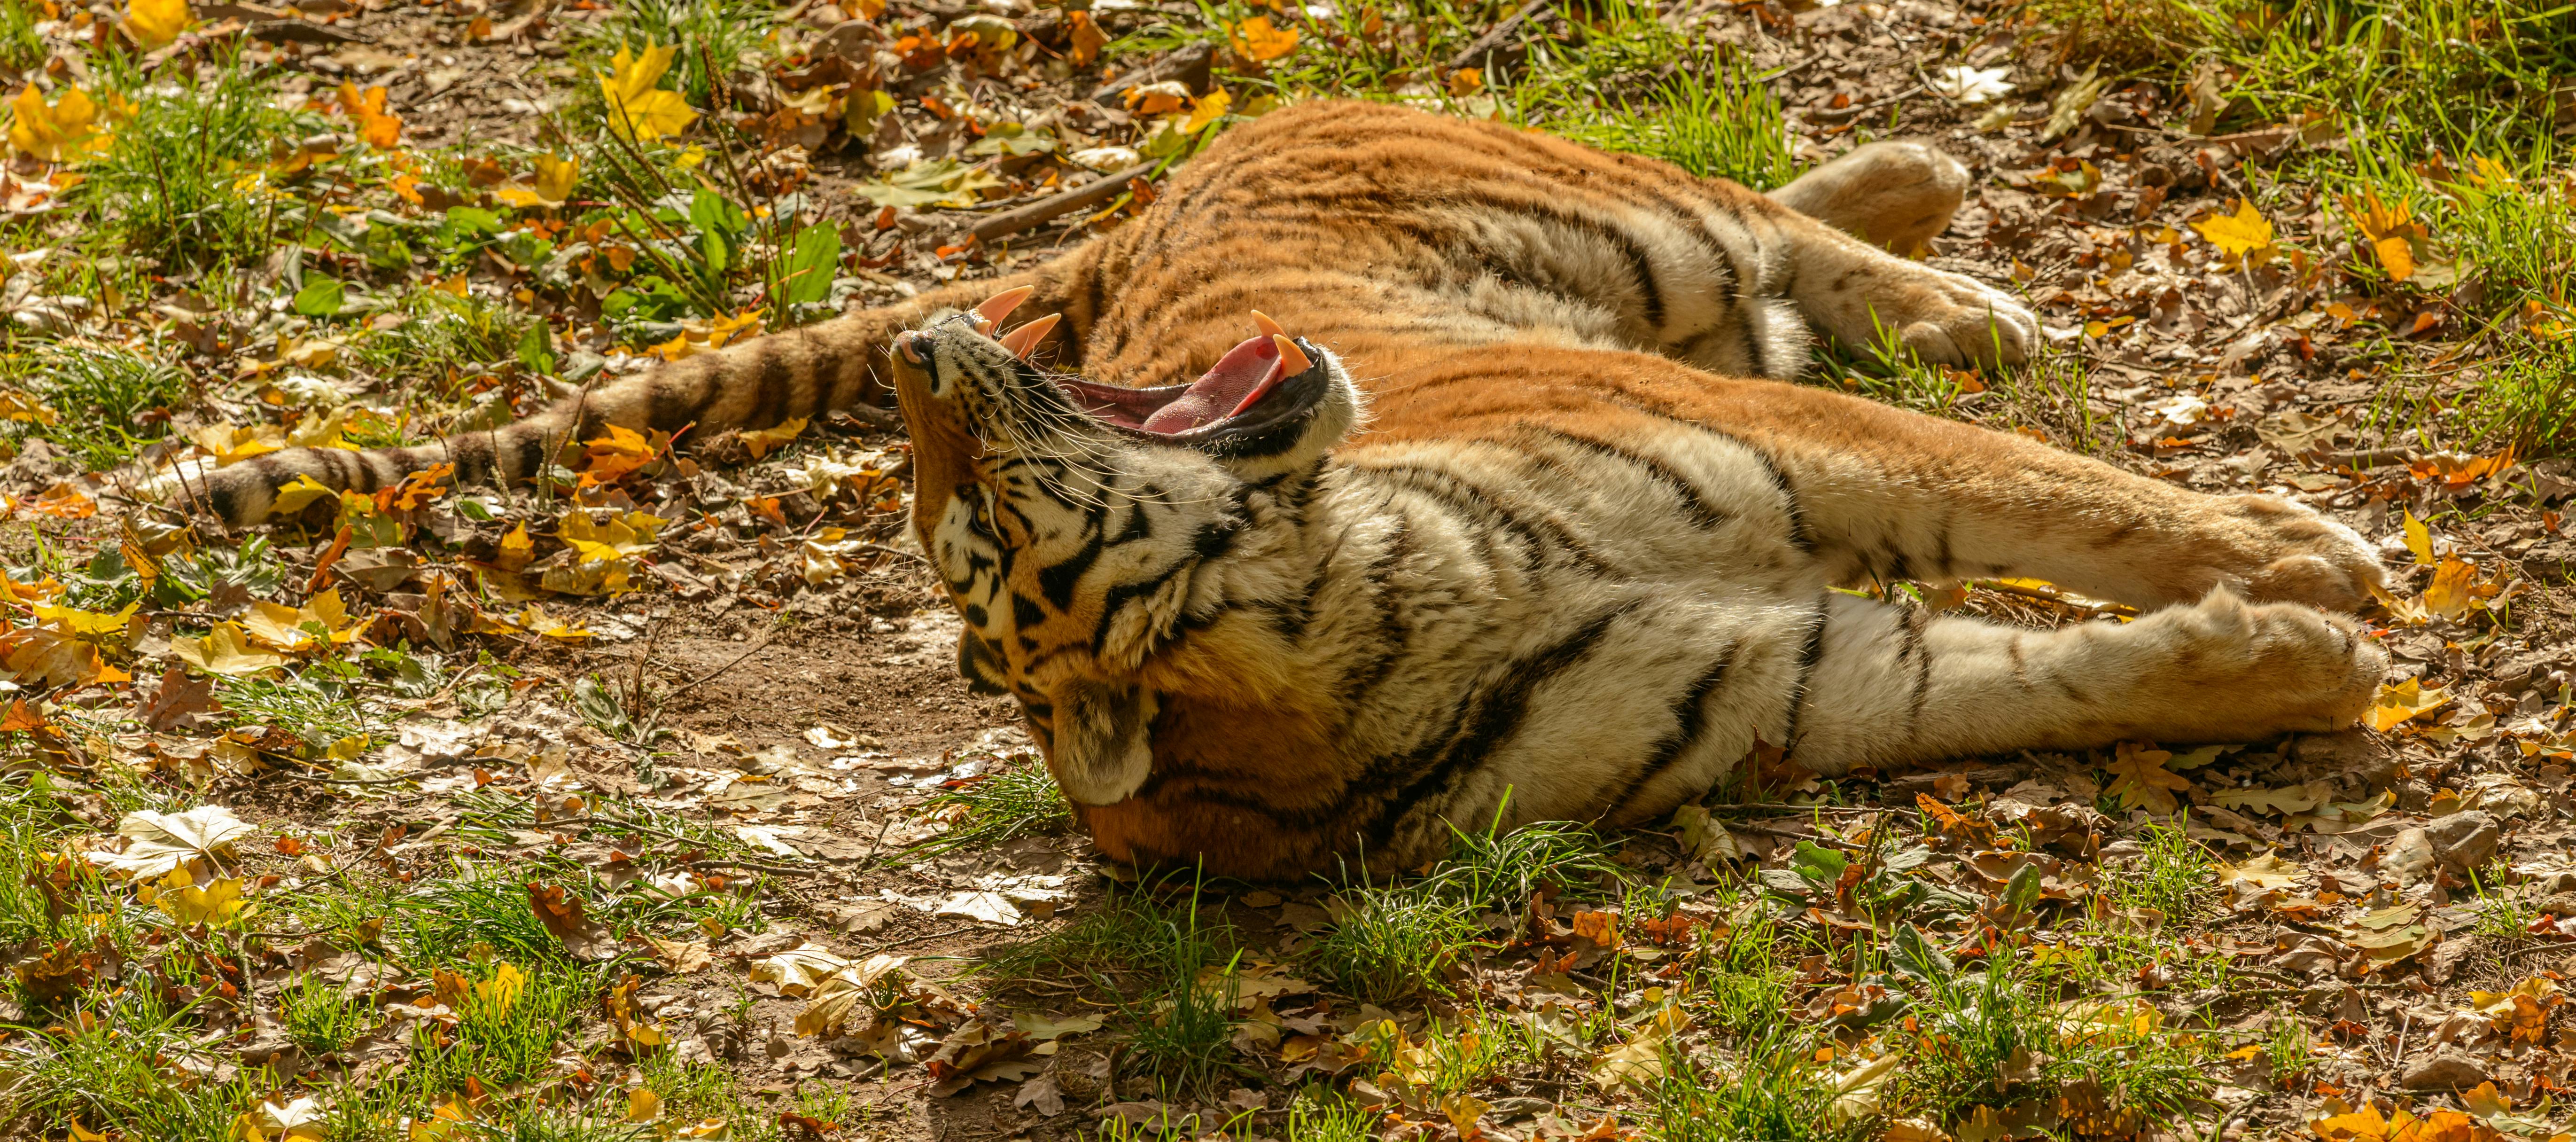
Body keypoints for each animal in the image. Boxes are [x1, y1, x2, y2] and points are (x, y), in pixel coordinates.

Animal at [187, 101, 2388, 879]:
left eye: (948, 496)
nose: (917, 366)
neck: (1353, 606)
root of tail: (1133, 201)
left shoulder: (1786, 452)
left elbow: (2059, 500)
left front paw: (2302, 550)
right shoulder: (1786, 680)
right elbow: (2046, 675)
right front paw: (2296, 645)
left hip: (1618, 225)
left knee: (1774, 211)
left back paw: (1947, 253)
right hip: (1657, 281)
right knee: (1776, 251)